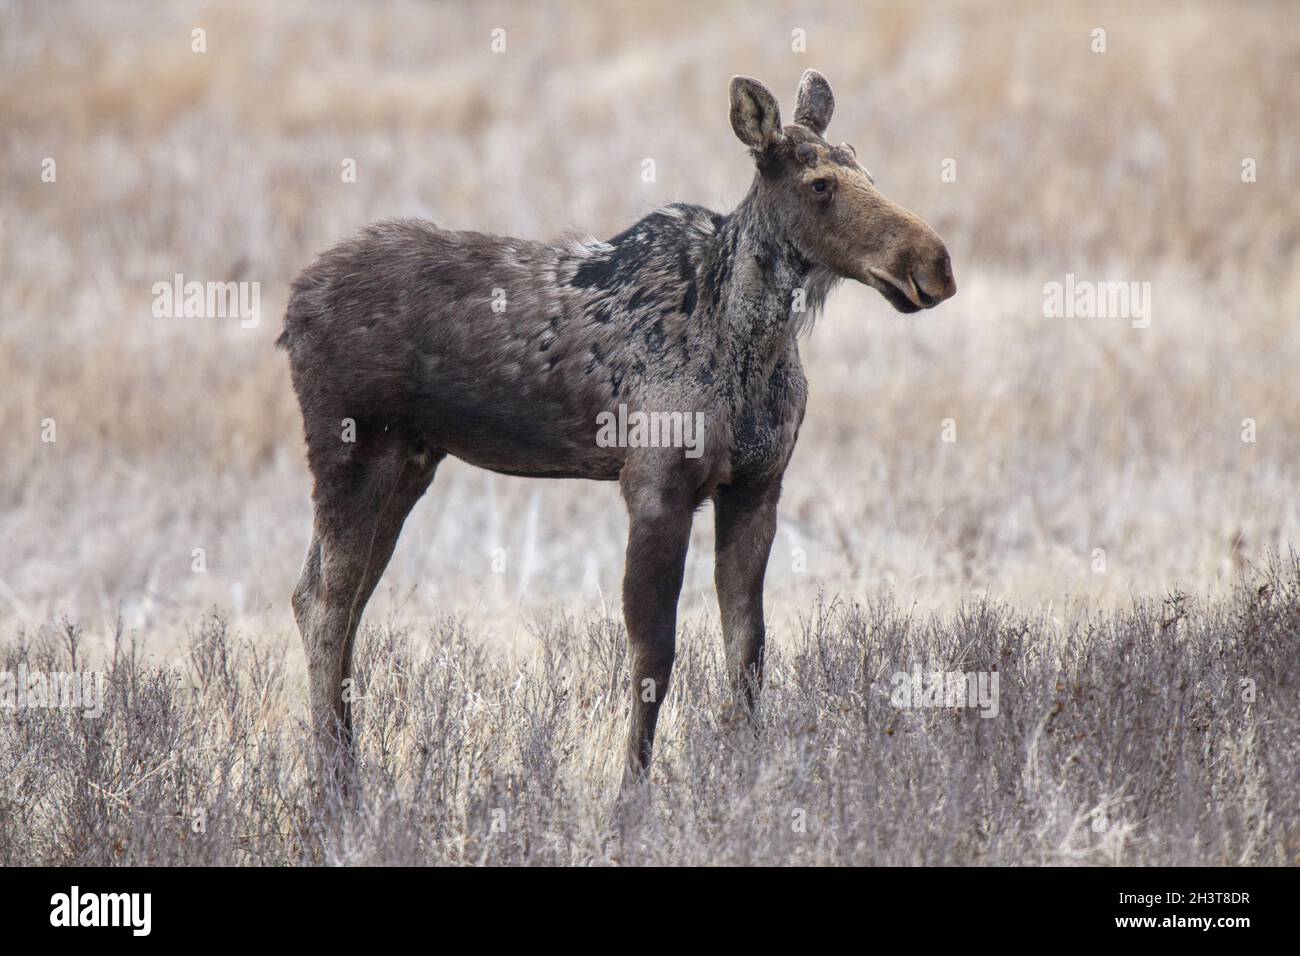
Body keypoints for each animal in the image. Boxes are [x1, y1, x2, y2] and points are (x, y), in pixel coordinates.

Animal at [278, 70, 955, 793]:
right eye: (820, 184)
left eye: (867, 170)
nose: (934, 263)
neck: (753, 344)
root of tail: (293, 308)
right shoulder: (656, 484)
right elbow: (654, 651)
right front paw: (632, 791)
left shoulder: (757, 485)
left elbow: (748, 647)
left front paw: (745, 774)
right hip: (351, 448)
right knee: (323, 600)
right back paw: (335, 782)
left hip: (410, 461)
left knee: (336, 598)